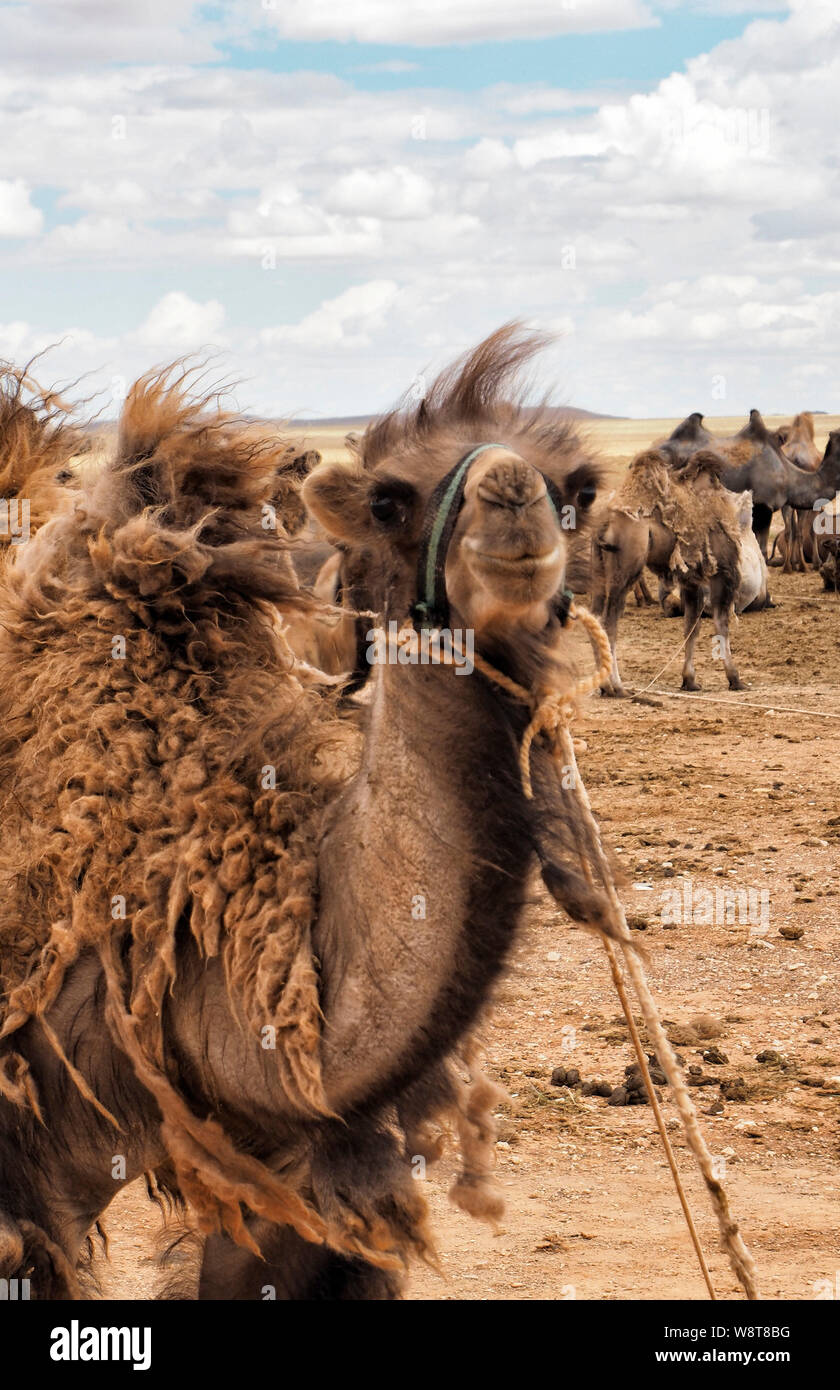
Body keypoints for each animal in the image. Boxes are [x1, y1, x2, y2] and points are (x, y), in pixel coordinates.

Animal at [590, 450, 744, 696]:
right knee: (609, 622)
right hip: (625, 571)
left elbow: (691, 626)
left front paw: (690, 680)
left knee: (595, 617)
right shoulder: (722, 574)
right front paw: (735, 679)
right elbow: (721, 624)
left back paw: (605, 687)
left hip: (598, 568)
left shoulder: (691, 581)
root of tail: (604, 524)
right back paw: (617, 686)